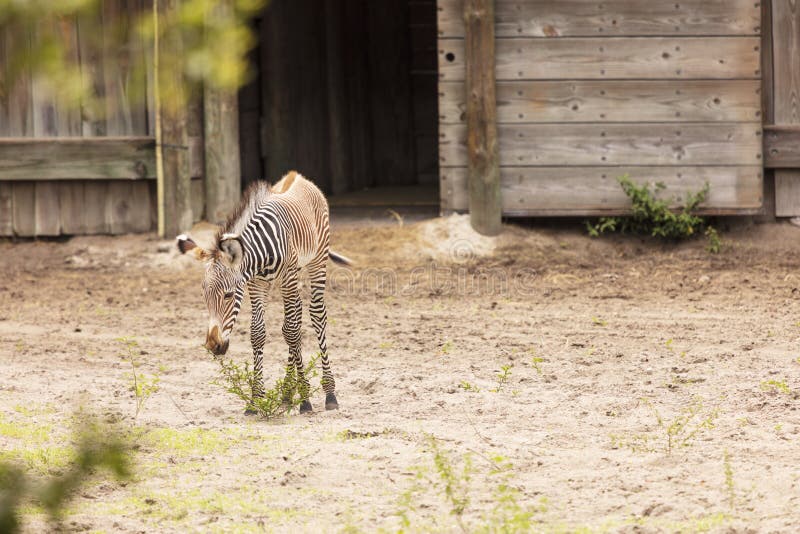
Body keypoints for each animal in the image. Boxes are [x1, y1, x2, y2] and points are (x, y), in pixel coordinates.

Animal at [176, 171, 351, 413]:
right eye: (204, 297)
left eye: (228, 295)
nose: (213, 346)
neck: (260, 255)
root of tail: (297, 176)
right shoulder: (256, 284)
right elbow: (259, 333)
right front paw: (255, 401)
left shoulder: (286, 276)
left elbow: (292, 332)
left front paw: (305, 399)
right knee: (296, 317)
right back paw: (287, 394)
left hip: (317, 261)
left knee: (315, 316)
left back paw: (329, 393)